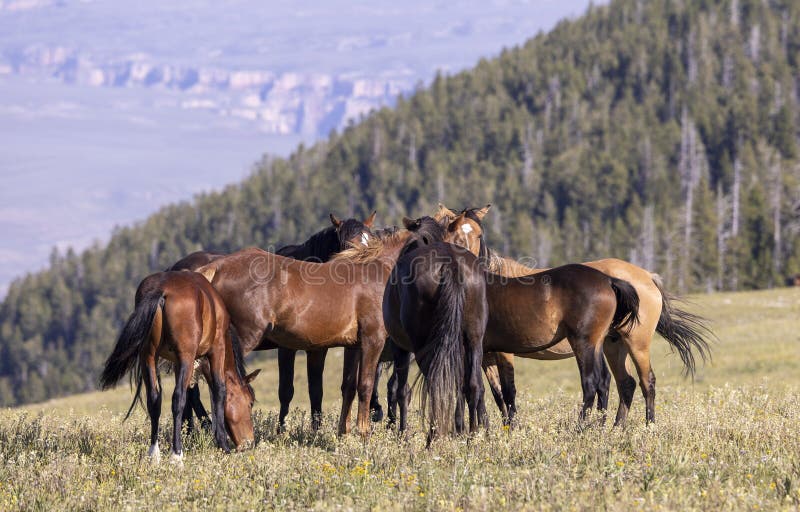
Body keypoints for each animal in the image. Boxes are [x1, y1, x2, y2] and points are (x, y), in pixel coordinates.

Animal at [99, 271, 259, 461]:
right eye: (250, 403)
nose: (250, 443)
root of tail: (162, 290)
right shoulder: (217, 349)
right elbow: (219, 391)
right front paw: (222, 445)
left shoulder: (175, 363)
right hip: (186, 357)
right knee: (178, 399)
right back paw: (177, 454)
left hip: (148, 357)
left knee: (154, 399)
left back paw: (154, 454)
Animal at [167, 212, 375, 432]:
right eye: (346, 244)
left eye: (370, 241)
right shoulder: (287, 348)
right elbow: (286, 390)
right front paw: (282, 429)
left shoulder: (317, 347)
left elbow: (316, 389)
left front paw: (315, 428)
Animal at [195, 220, 431, 437]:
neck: (374, 270)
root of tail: (216, 268)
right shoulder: (372, 340)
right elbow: (365, 385)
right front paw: (364, 433)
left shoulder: (353, 346)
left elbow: (348, 387)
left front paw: (343, 432)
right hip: (241, 339)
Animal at [382, 219, 488, 445]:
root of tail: (451, 264)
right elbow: (459, 385)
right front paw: (459, 429)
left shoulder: (400, 347)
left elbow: (402, 391)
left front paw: (403, 435)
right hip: (474, 340)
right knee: (472, 385)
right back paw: (471, 437)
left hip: (424, 345)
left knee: (434, 384)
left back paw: (432, 438)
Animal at [438, 203, 713, 425]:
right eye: (451, 233)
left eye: (479, 234)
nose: (467, 262)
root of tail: (647, 277)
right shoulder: (484, 356)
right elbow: (490, 394)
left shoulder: (502, 353)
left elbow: (507, 391)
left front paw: (508, 428)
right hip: (613, 344)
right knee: (626, 383)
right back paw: (615, 427)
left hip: (633, 343)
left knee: (645, 382)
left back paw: (645, 426)